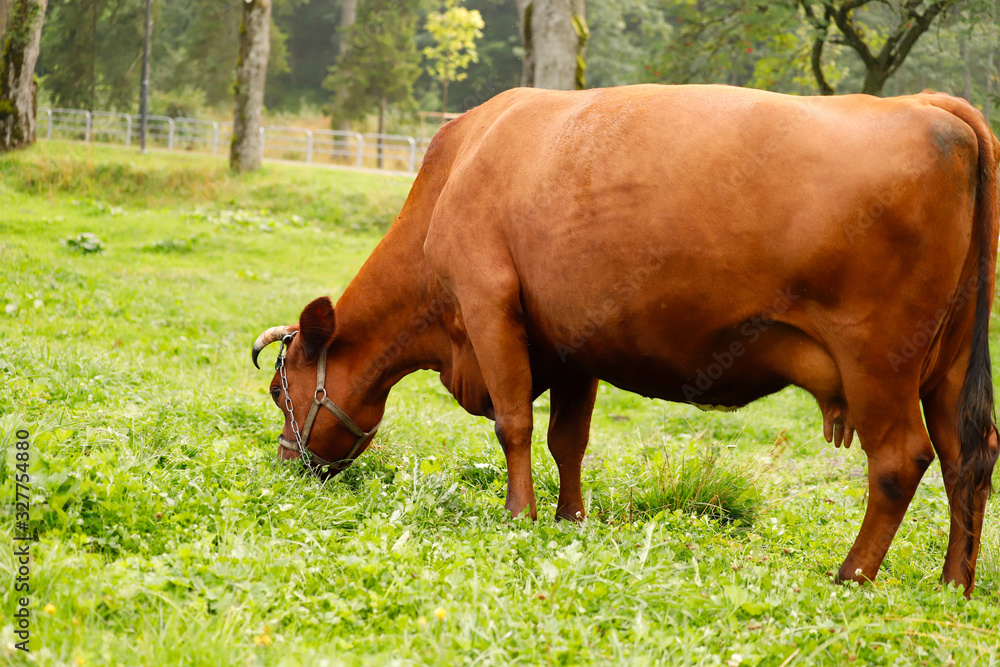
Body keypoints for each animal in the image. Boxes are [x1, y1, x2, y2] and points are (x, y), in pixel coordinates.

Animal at [252, 84, 999, 594]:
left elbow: (514, 422)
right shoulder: (571, 342)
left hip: (878, 360)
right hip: (949, 363)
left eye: (280, 392)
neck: (457, 170)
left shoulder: (489, 306)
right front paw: (569, 517)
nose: (288, 459)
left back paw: (852, 573)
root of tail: (927, 105)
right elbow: (568, 439)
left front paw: (519, 513)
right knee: (969, 455)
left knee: (900, 460)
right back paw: (953, 583)